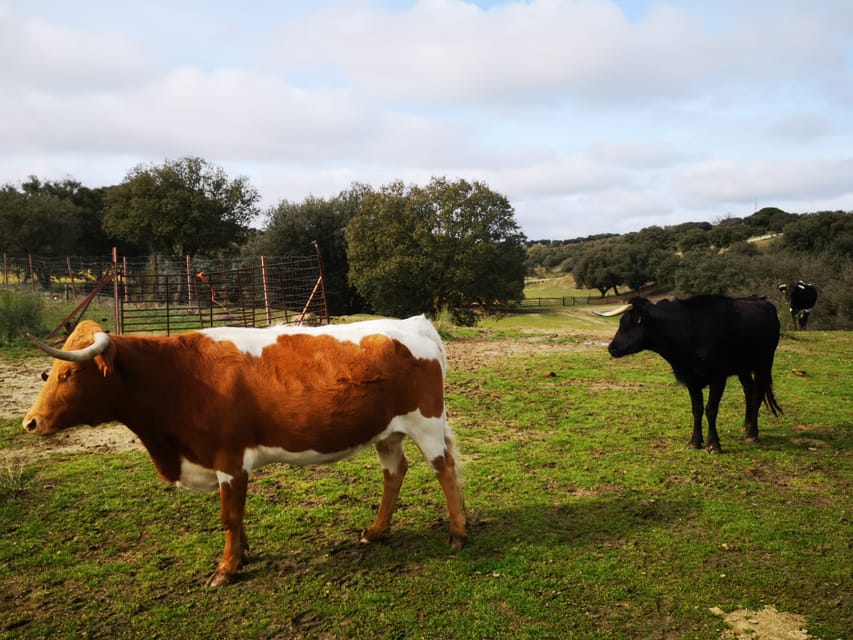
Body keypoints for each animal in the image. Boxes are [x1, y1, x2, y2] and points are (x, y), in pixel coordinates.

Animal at [23, 316, 466, 587]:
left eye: (68, 373)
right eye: (49, 373)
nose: (31, 422)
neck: (177, 378)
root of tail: (413, 324)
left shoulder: (229, 459)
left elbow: (229, 516)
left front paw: (227, 568)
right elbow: (236, 516)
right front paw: (242, 554)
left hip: (426, 423)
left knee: (444, 469)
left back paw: (458, 533)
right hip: (387, 432)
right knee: (395, 471)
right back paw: (375, 531)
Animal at [597, 295, 782, 453]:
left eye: (628, 323)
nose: (611, 348)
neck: (689, 331)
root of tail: (762, 301)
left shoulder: (718, 378)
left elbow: (711, 409)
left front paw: (713, 445)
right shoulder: (691, 378)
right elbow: (697, 409)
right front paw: (694, 441)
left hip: (764, 362)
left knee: (757, 394)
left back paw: (752, 434)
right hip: (743, 367)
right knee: (749, 390)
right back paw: (746, 426)